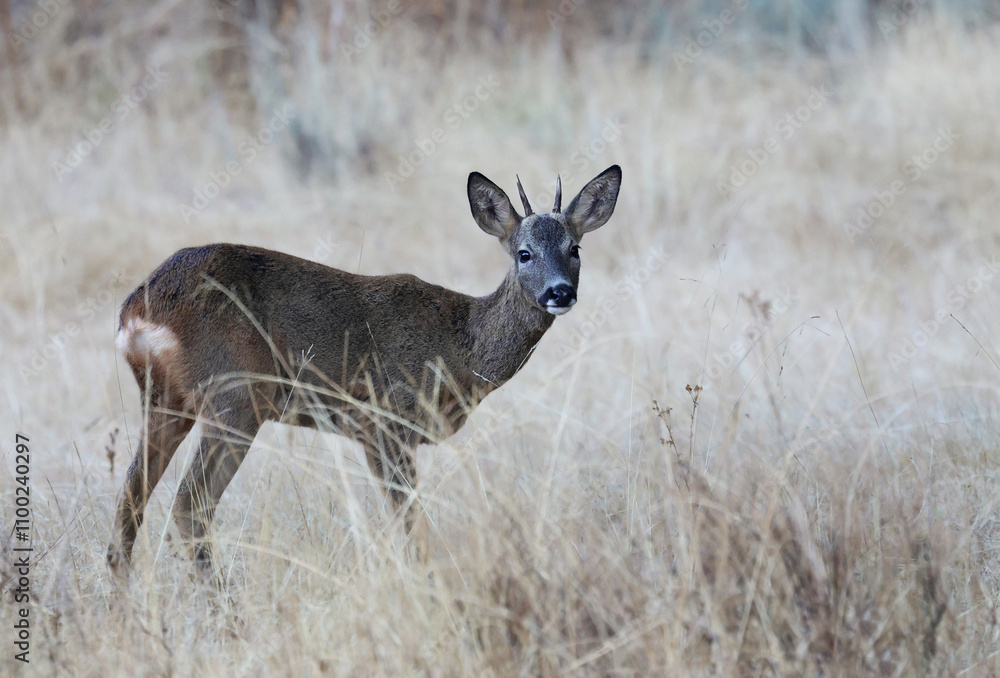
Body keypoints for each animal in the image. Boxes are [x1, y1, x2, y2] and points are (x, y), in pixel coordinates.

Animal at [107, 165, 622, 582]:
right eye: (524, 253)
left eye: (575, 248)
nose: (560, 292)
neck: (459, 345)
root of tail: (138, 311)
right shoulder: (385, 423)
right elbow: (410, 528)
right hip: (236, 397)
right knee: (189, 507)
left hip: (168, 402)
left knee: (128, 507)